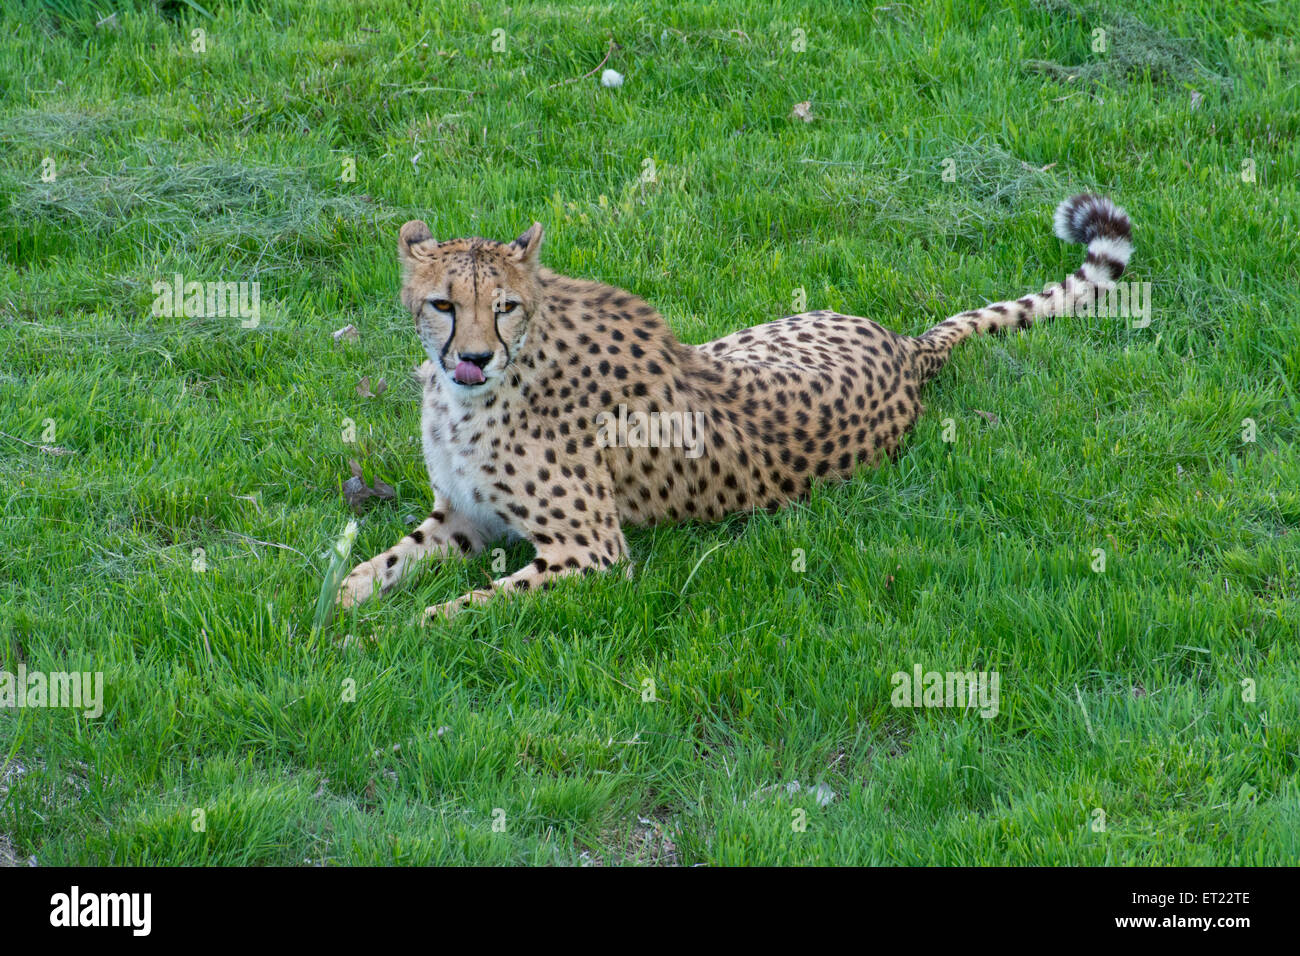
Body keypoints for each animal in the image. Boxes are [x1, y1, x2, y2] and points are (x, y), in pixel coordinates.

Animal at [337, 193, 1133, 620]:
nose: (473, 357)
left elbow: (471, 605)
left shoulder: (592, 554)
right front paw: (341, 603)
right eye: (443, 305)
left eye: (503, 307)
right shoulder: (465, 516)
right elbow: (382, 564)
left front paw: (400, 629)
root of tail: (907, 349)